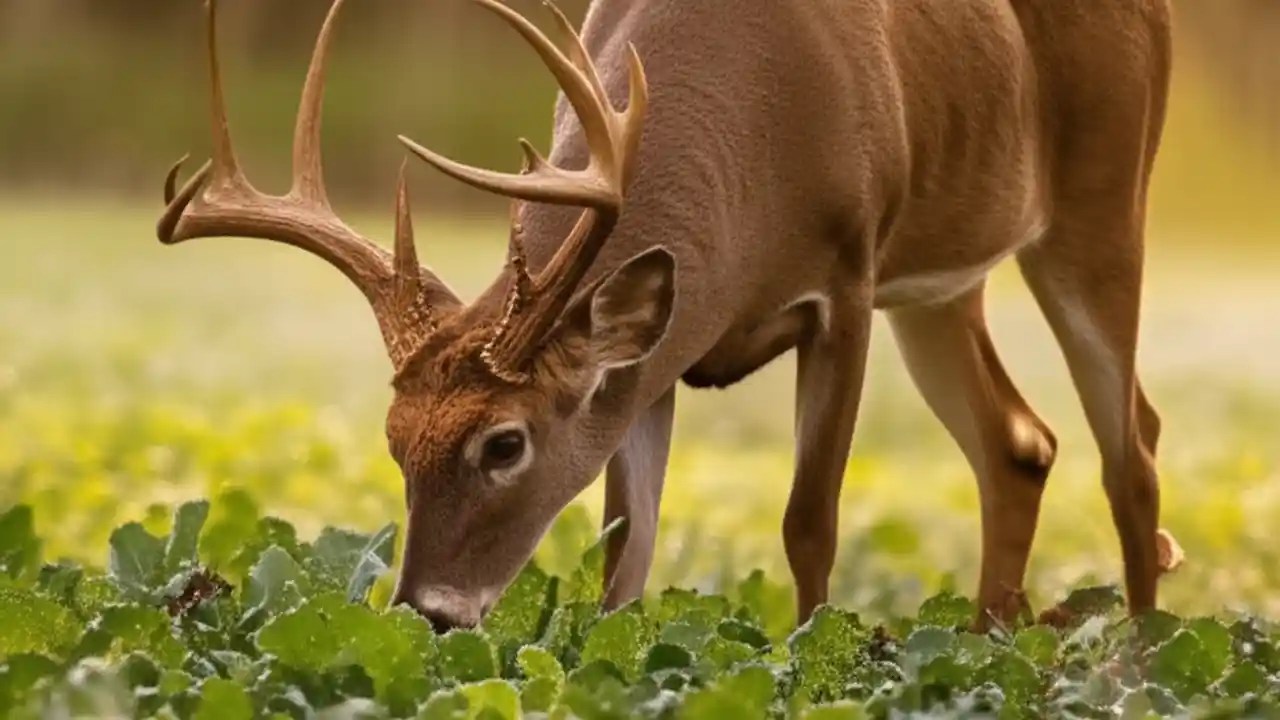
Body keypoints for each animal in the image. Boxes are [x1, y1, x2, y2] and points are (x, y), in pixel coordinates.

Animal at [159, 0, 1183, 632]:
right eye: (393, 439)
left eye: (504, 443)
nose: (430, 613)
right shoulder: (646, 367)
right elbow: (627, 545)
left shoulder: (848, 282)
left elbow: (809, 520)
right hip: (940, 285)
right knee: (1021, 441)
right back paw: (989, 644)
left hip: (1100, 203)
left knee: (1132, 446)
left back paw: (1143, 655)